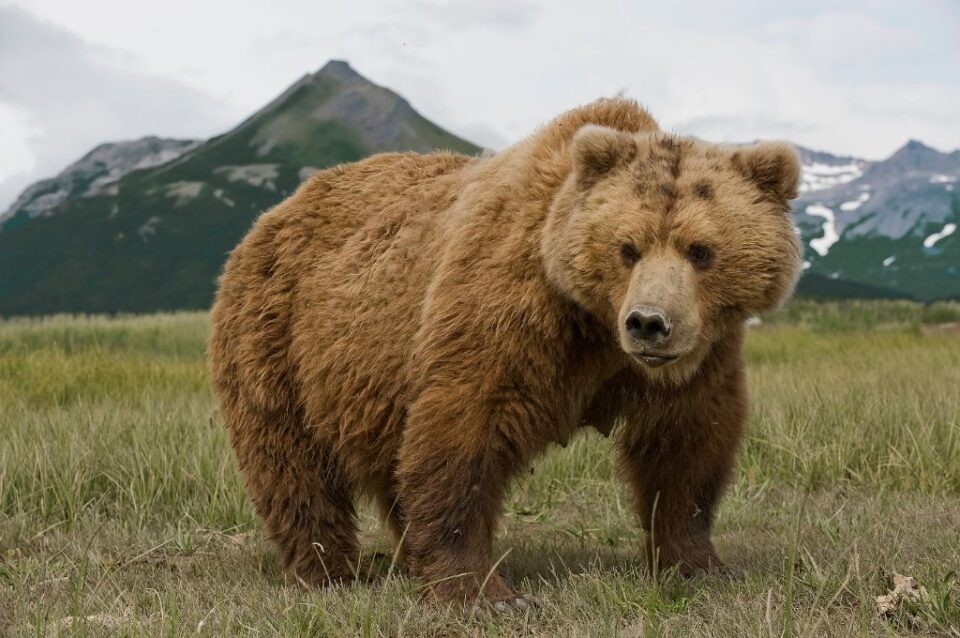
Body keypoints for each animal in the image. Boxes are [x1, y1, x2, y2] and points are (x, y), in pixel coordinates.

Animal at [208, 97, 801, 607]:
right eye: (627, 247)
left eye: (701, 251)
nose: (649, 323)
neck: (595, 326)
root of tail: (273, 214)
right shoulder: (510, 311)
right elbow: (464, 431)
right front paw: (485, 593)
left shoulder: (701, 356)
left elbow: (687, 448)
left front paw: (698, 564)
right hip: (279, 339)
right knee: (292, 465)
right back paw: (327, 571)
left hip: (368, 383)